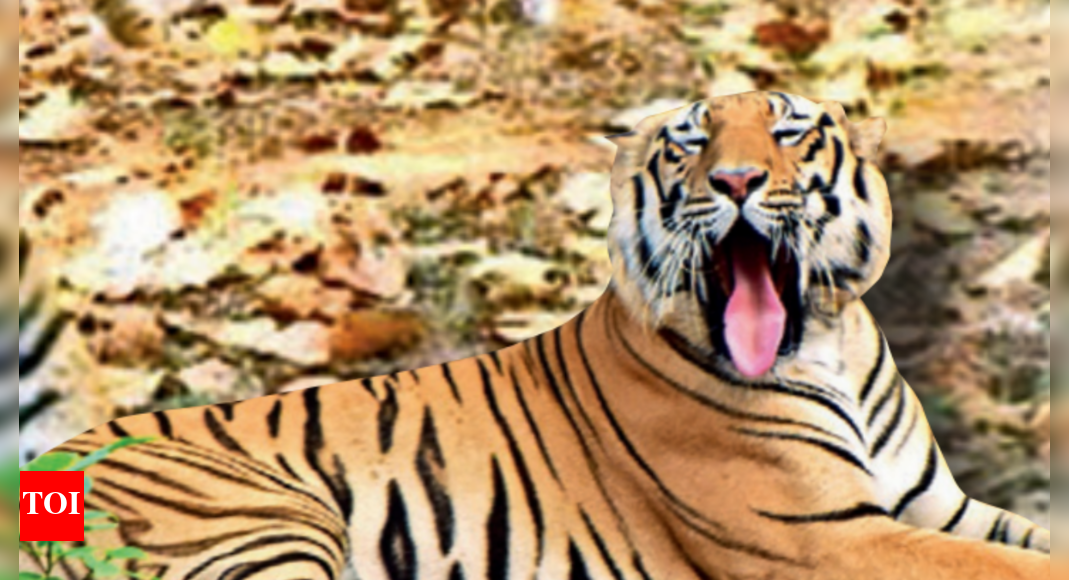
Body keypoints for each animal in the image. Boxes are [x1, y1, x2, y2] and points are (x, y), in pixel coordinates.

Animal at [21, 91, 1050, 580]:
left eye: (792, 131)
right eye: (689, 142)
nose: (738, 181)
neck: (824, 343)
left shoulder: (934, 509)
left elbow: (1030, 537)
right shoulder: (831, 539)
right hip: (270, 522)